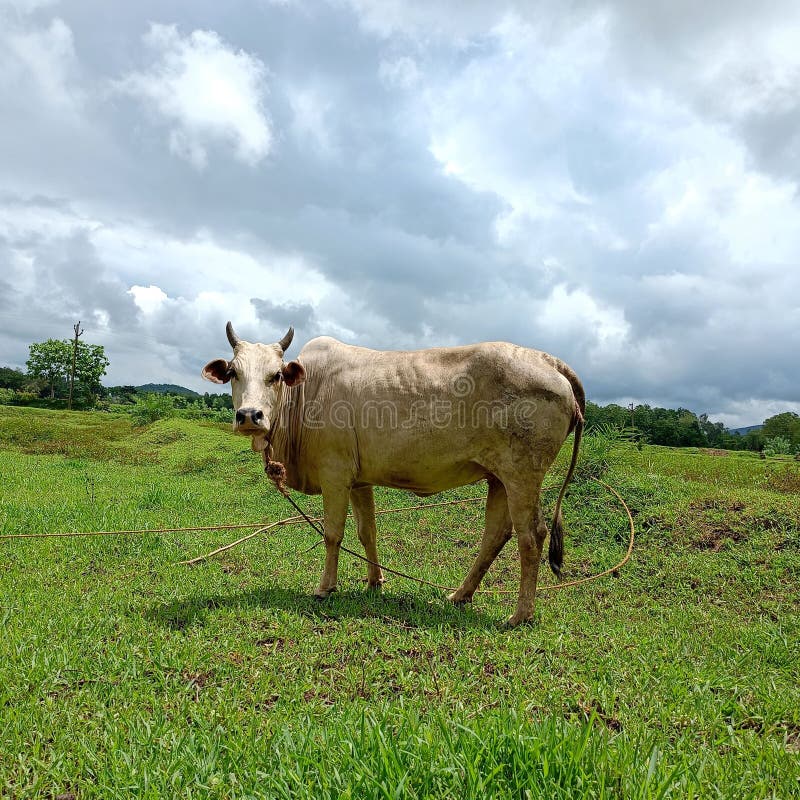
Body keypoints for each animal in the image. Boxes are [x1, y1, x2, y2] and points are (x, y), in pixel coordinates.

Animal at [202, 322, 584, 626]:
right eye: (233, 373)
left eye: (277, 375)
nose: (249, 415)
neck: (304, 397)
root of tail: (550, 361)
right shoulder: (359, 480)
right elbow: (367, 533)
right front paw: (375, 582)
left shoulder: (334, 474)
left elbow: (333, 534)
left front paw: (325, 587)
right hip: (499, 478)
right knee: (496, 535)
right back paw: (460, 595)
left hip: (523, 475)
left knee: (531, 536)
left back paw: (520, 614)